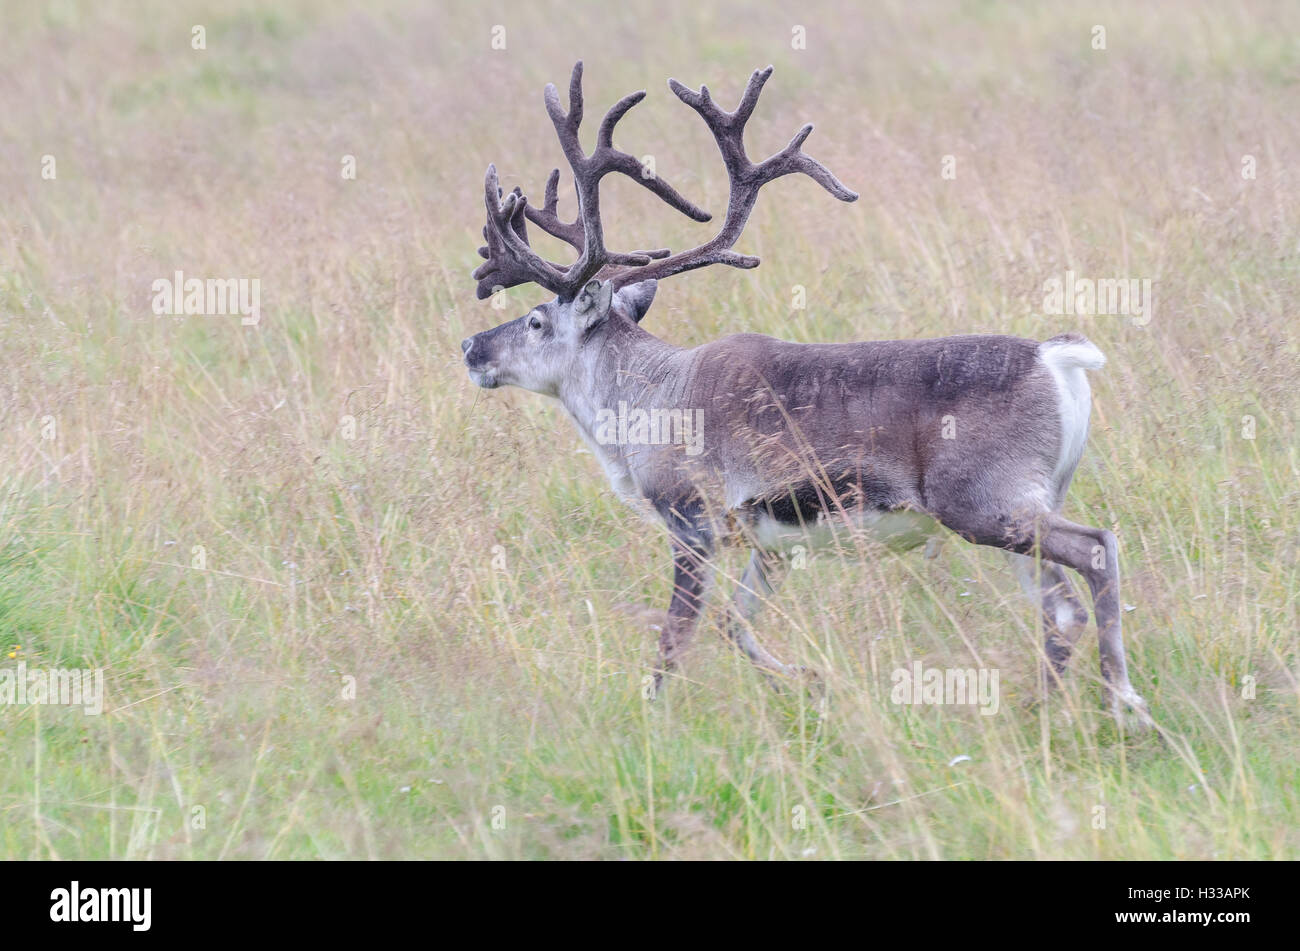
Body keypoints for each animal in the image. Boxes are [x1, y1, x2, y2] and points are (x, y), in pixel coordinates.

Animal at [461, 62, 1151, 730]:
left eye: (535, 321)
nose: (470, 347)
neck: (646, 401)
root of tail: (1056, 358)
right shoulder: (768, 543)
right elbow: (734, 625)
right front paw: (811, 682)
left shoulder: (692, 520)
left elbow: (675, 639)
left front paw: (653, 719)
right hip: (1023, 507)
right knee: (1060, 607)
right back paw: (1044, 711)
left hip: (985, 502)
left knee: (1095, 553)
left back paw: (1124, 703)